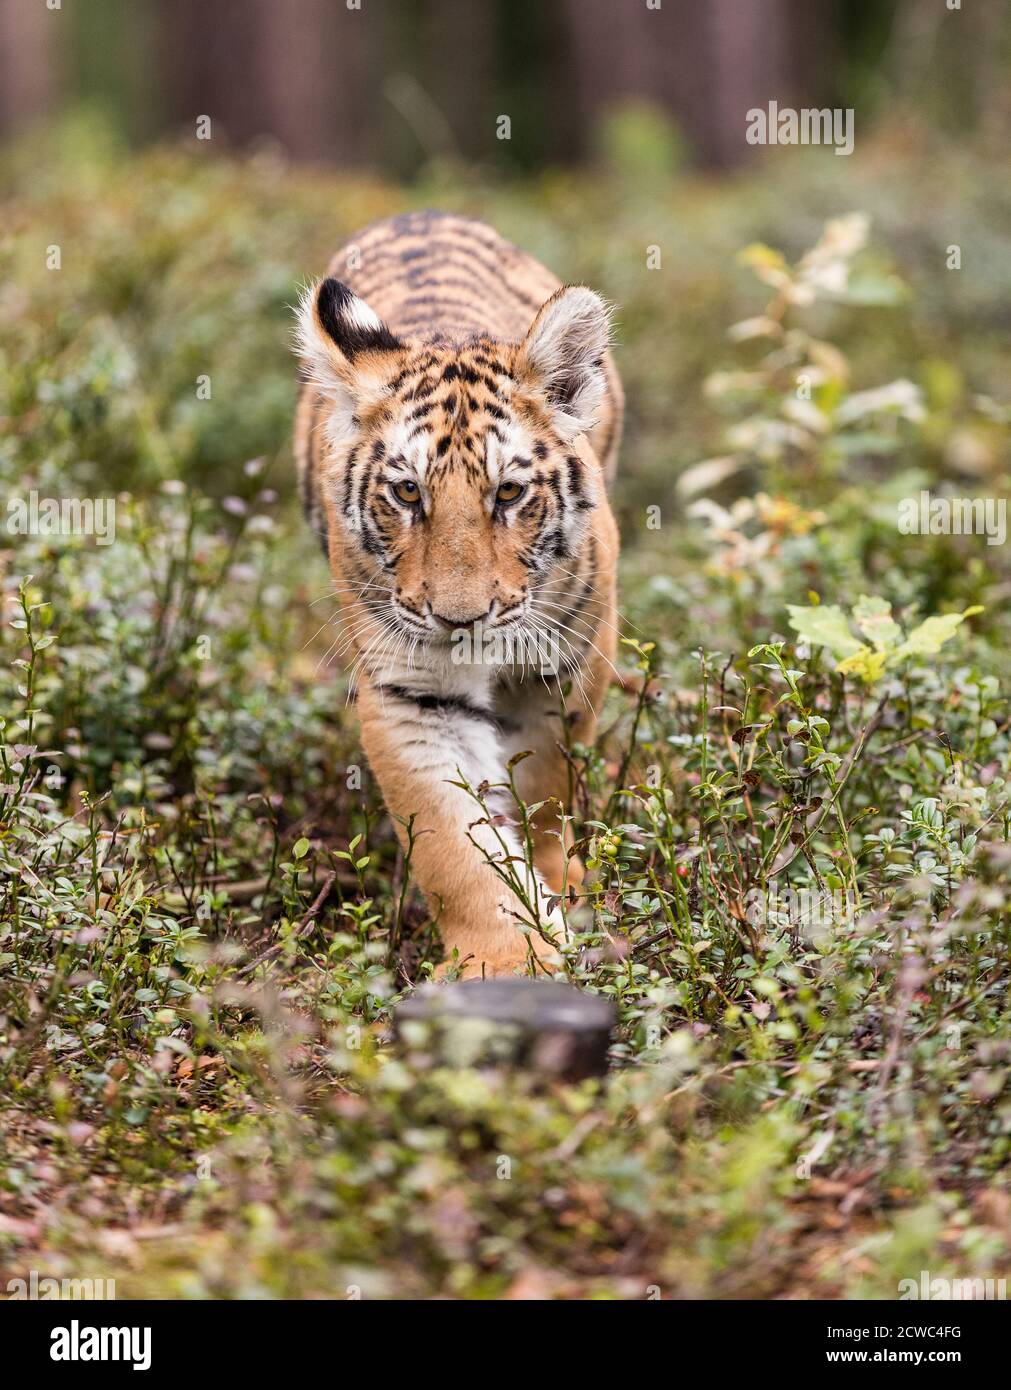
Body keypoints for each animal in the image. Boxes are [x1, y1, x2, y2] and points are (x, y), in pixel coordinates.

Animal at [294, 210, 622, 978]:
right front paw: (507, 960)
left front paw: (555, 884)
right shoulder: (410, 691)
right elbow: (454, 842)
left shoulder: (569, 664)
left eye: (508, 493)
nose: (459, 617)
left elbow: (546, 788)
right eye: (408, 493)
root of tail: (421, 213)